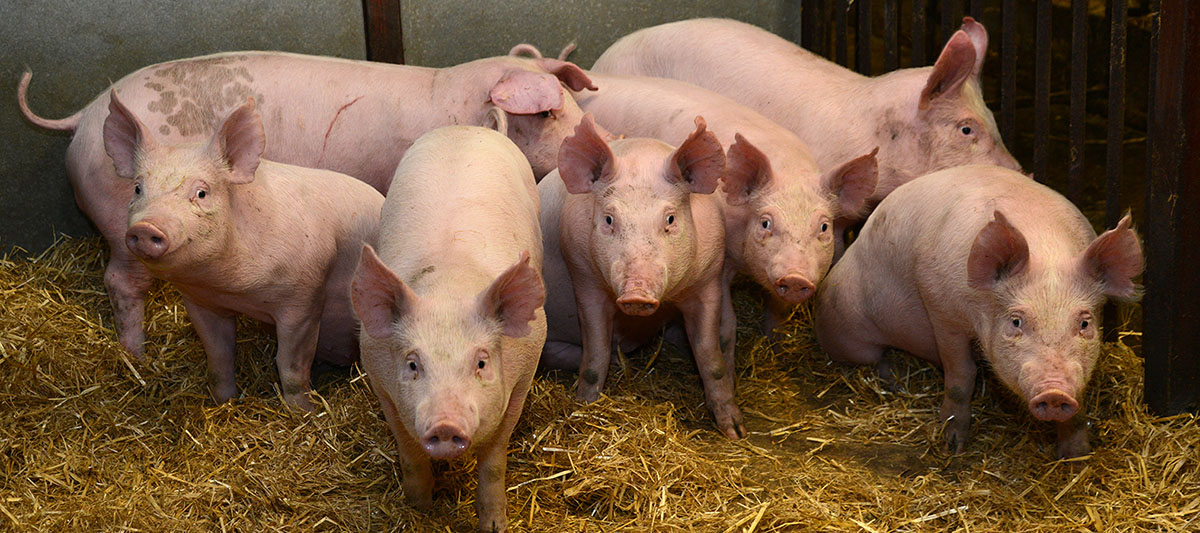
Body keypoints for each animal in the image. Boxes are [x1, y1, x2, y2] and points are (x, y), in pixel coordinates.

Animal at [18, 51, 594, 358]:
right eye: (549, 115)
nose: (596, 137)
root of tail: (83, 116)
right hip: (125, 225)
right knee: (121, 281)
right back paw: (135, 354)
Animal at [102, 93, 384, 409]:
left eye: (201, 193)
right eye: (138, 189)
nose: (145, 227)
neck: (232, 289)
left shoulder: (304, 300)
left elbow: (291, 366)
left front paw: (302, 411)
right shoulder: (202, 303)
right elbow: (219, 356)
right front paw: (223, 401)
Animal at [350, 126, 546, 532]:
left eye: (481, 363)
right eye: (412, 364)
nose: (445, 423)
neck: (448, 286)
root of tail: (465, 128)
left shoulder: (524, 375)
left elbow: (494, 460)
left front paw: (494, 525)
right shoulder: (379, 379)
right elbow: (409, 450)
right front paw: (420, 507)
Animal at [539, 113, 745, 440]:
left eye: (670, 219)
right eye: (609, 219)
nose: (637, 293)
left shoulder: (708, 281)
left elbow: (710, 358)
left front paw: (736, 433)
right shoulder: (584, 277)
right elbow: (595, 355)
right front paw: (583, 407)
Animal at [814, 166, 1143, 458]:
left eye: (1085, 323)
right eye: (1016, 321)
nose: (1054, 393)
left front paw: (1076, 457)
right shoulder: (942, 311)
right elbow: (961, 376)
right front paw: (953, 445)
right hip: (846, 332)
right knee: (875, 357)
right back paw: (893, 380)